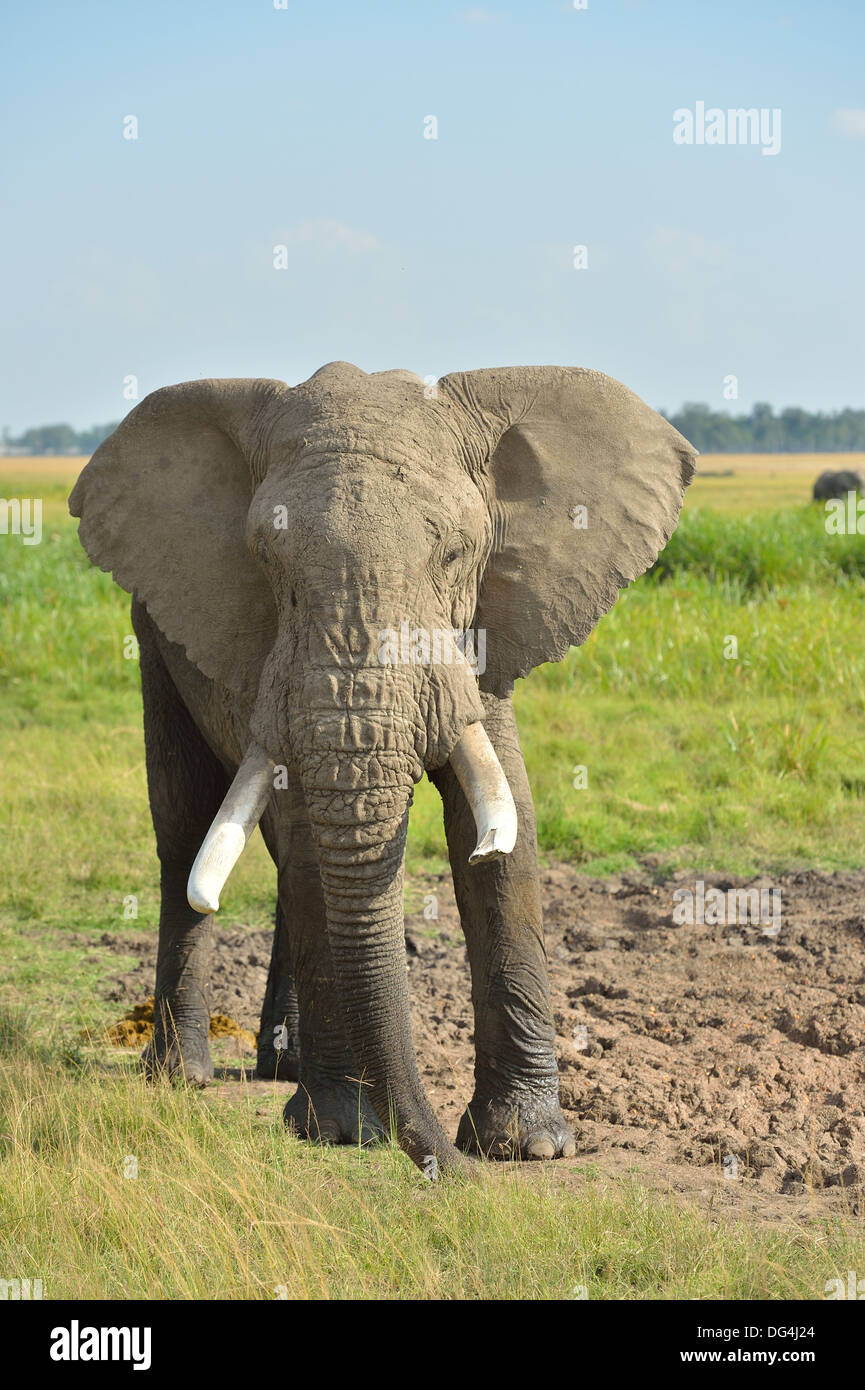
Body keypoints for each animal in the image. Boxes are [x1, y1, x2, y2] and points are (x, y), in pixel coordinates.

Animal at [69, 362, 696, 1172]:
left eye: (455, 554)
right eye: (266, 563)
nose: (447, 1169)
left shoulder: (482, 628)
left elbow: (508, 823)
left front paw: (527, 1146)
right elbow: (312, 834)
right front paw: (340, 1132)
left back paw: (284, 1065)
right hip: (153, 635)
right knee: (187, 831)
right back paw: (183, 1076)